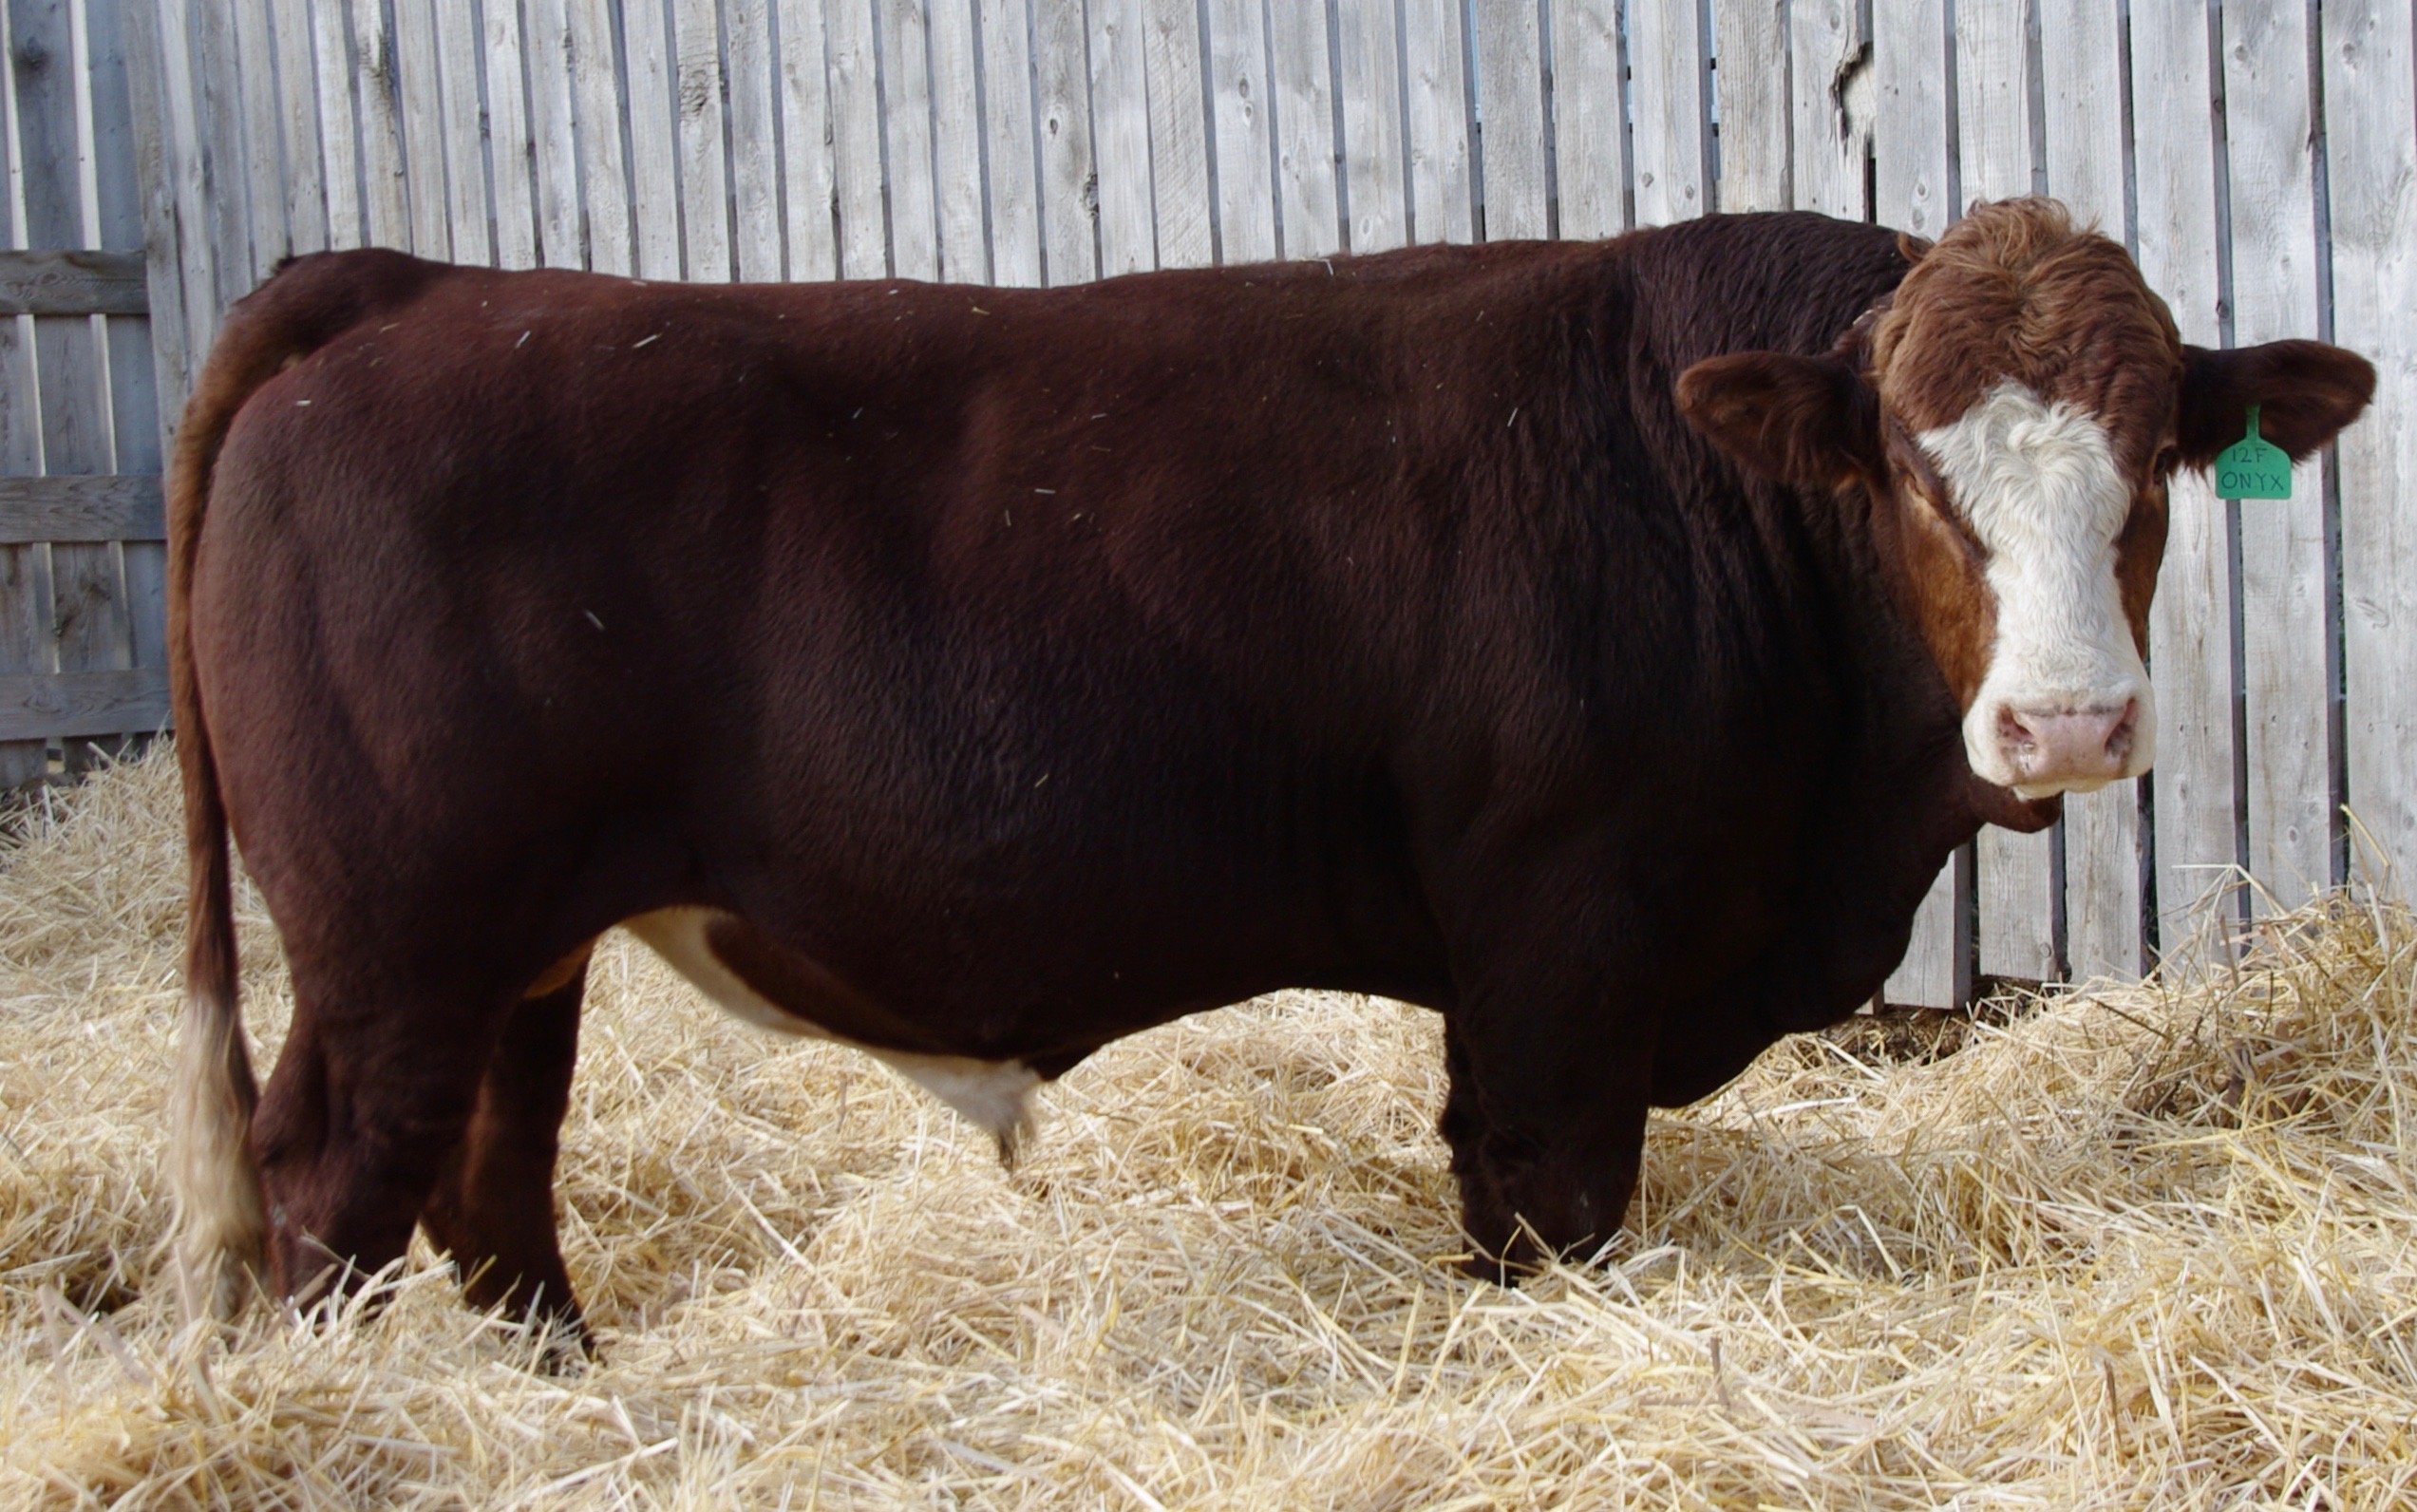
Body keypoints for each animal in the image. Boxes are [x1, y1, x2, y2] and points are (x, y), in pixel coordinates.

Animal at [163, 199, 2371, 1337]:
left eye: (2160, 456)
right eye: (1913, 467)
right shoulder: (1561, 931)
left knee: (491, 1191)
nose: (2068, 721)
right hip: (395, 942)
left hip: (516, 947)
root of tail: (419, 286)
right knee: (329, 1193)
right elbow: (1549, 1197)